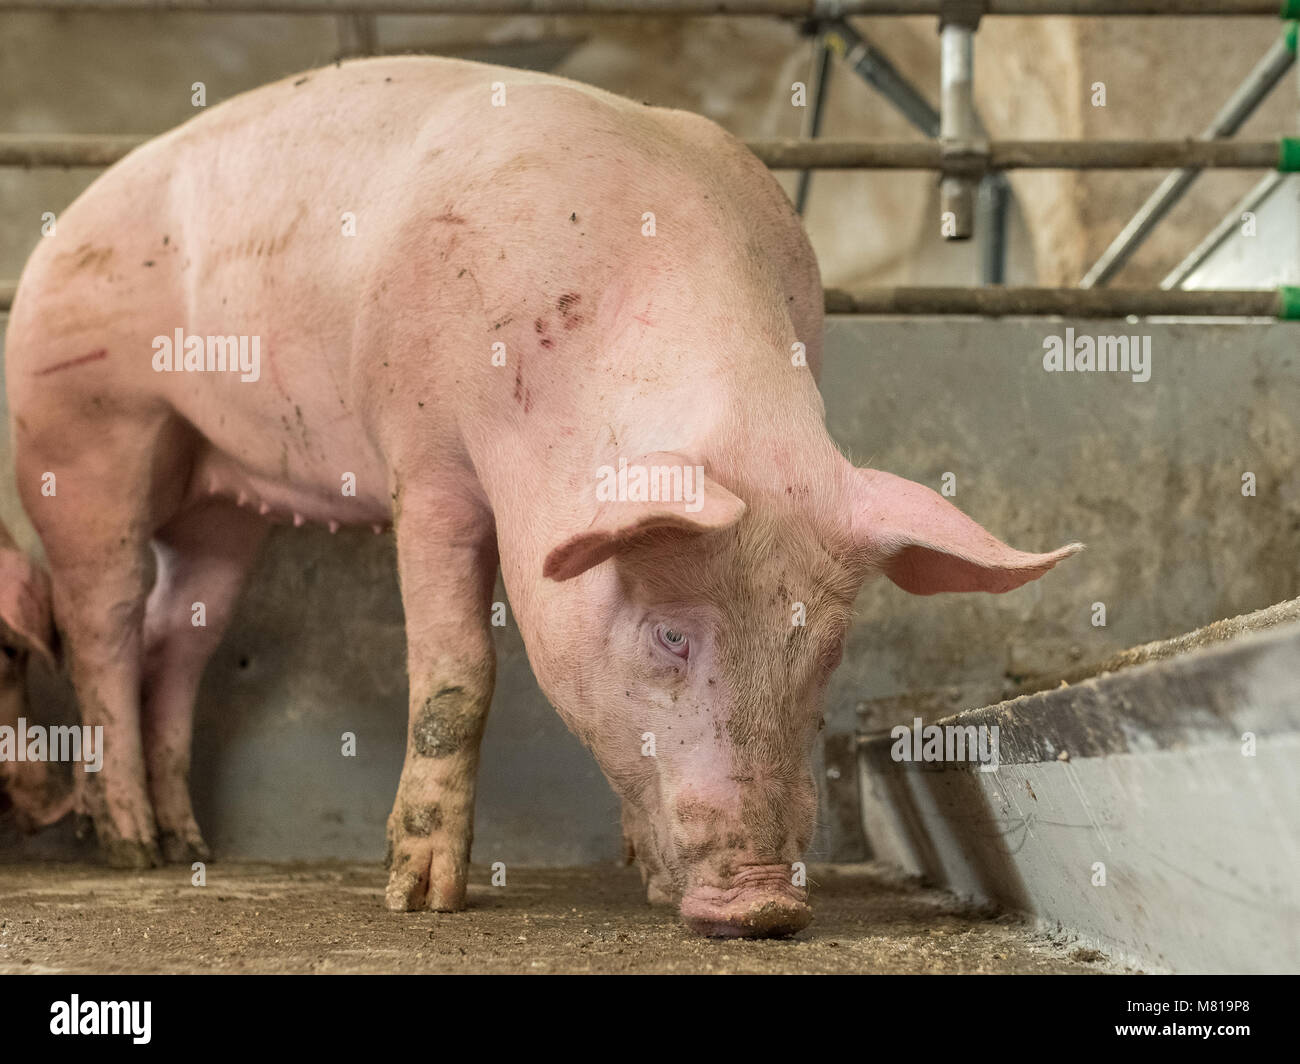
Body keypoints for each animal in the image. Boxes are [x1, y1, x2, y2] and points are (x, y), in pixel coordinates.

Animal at [4, 56, 1078, 936]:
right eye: (670, 634)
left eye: (829, 647)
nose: (768, 904)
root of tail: (68, 224)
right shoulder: (428, 456)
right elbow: (456, 671)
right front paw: (419, 899)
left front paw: (645, 879)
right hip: (85, 422)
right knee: (102, 621)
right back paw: (131, 844)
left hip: (223, 499)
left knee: (179, 634)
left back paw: (186, 844)